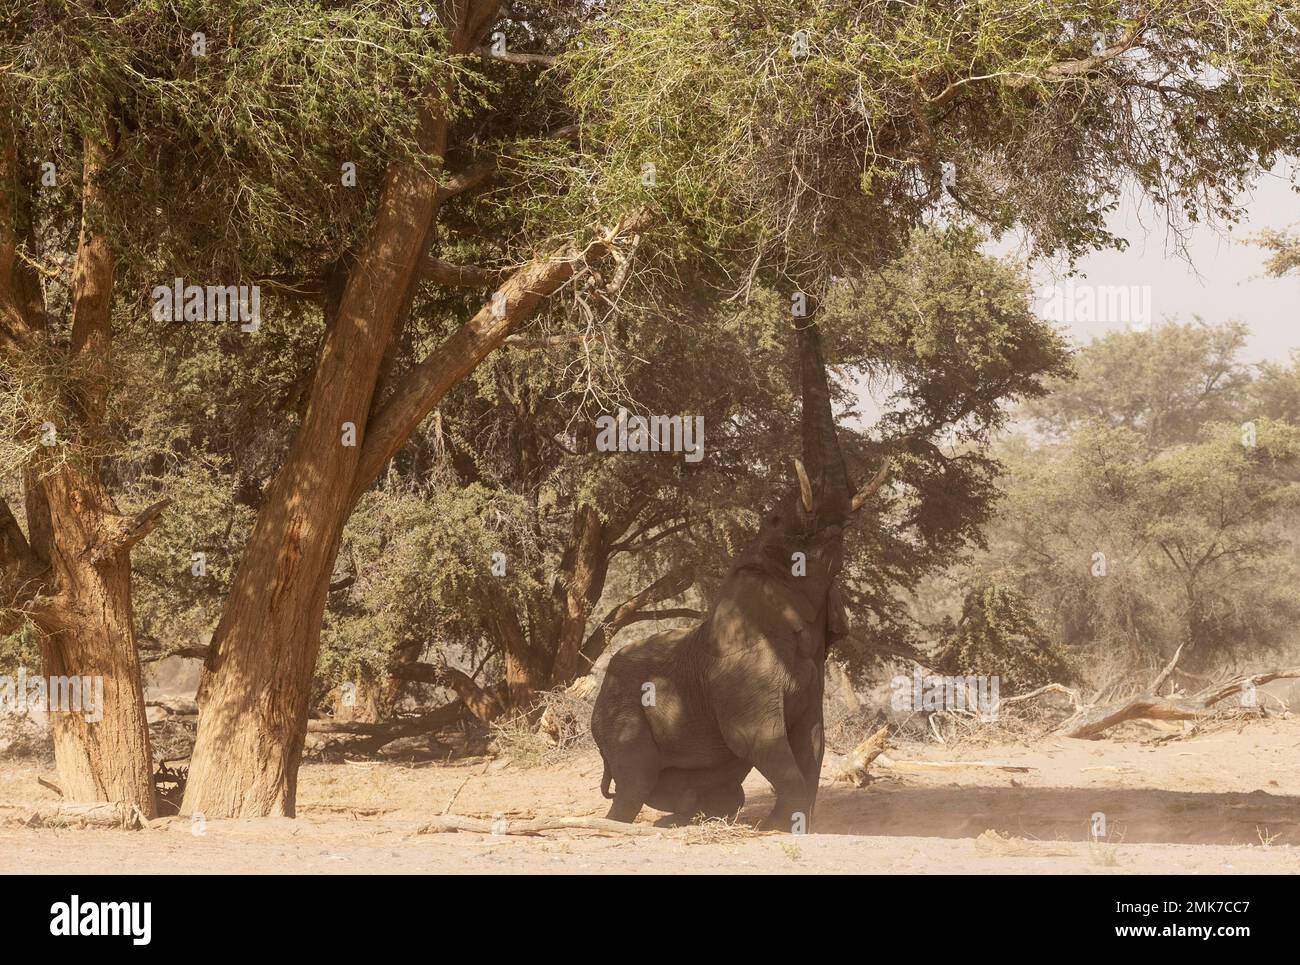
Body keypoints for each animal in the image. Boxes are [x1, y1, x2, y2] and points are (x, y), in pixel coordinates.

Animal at [590, 323, 886, 832]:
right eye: (774, 519)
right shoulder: (741, 670)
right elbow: (760, 739)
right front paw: (778, 828)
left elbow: (813, 741)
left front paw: (788, 825)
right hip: (619, 717)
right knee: (633, 784)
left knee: (724, 794)